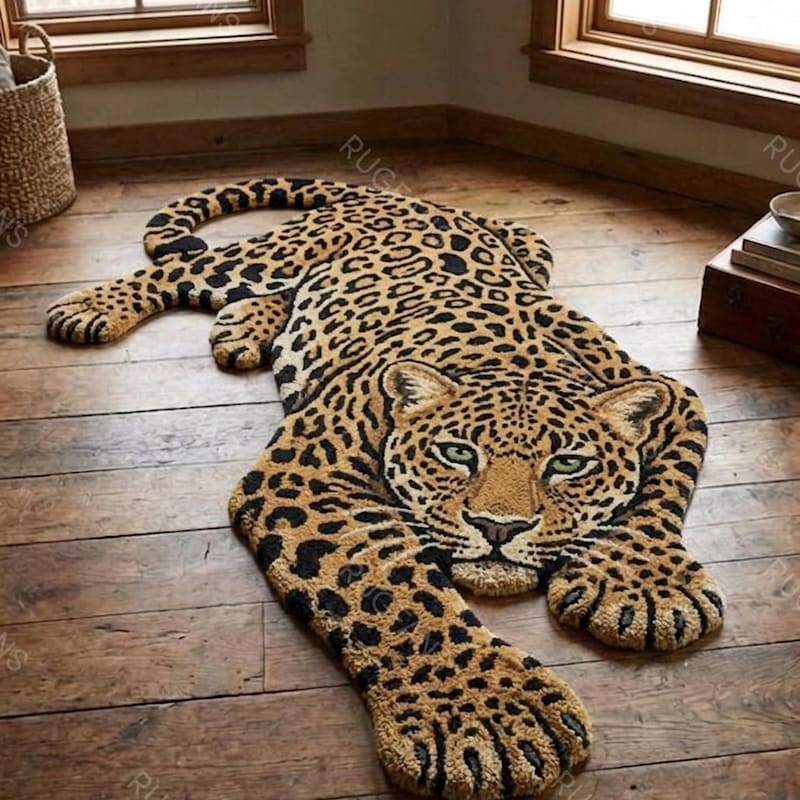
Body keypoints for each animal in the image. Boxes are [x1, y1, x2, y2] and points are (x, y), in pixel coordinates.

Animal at [46, 177, 724, 800]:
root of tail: (403, 192)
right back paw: (95, 306)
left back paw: (245, 326)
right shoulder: (306, 475)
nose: (500, 528)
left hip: (532, 249)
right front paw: (486, 721)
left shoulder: (675, 398)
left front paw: (648, 587)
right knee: (184, 269)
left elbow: (661, 487)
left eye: (569, 464)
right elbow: (397, 589)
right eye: (456, 453)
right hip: (281, 249)